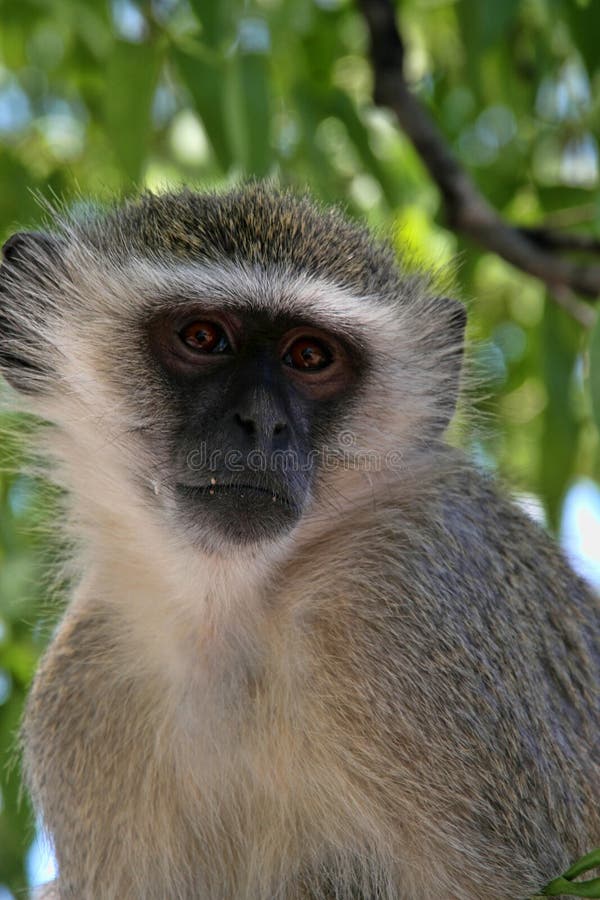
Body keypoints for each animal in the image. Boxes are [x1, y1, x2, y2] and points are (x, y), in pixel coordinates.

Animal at [0, 185, 598, 900]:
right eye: (203, 337)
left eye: (310, 356)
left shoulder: (417, 606)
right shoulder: (84, 684)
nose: (262, 422)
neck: (230, 613)